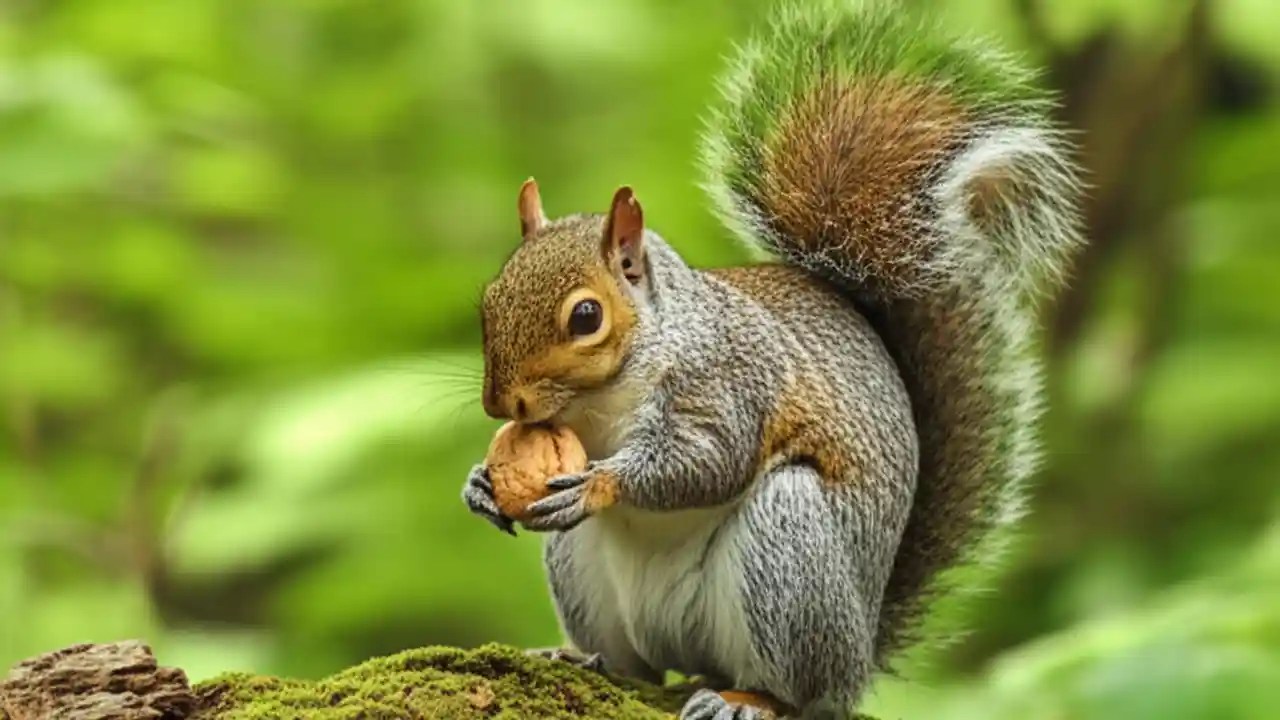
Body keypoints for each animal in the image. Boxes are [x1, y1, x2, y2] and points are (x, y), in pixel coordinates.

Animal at [461, 2, 1082, 719]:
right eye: (490, 297)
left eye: (586, 317)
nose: (501, 403)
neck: (602, 401)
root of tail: (859, 657)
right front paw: (479, 483)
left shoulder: (727, 382)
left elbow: (708, 461)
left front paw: (600, 483)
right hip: (582, 565)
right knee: (634, 665)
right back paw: (578, 657)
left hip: (791, 550)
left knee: (798, 690)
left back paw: (748, 699)